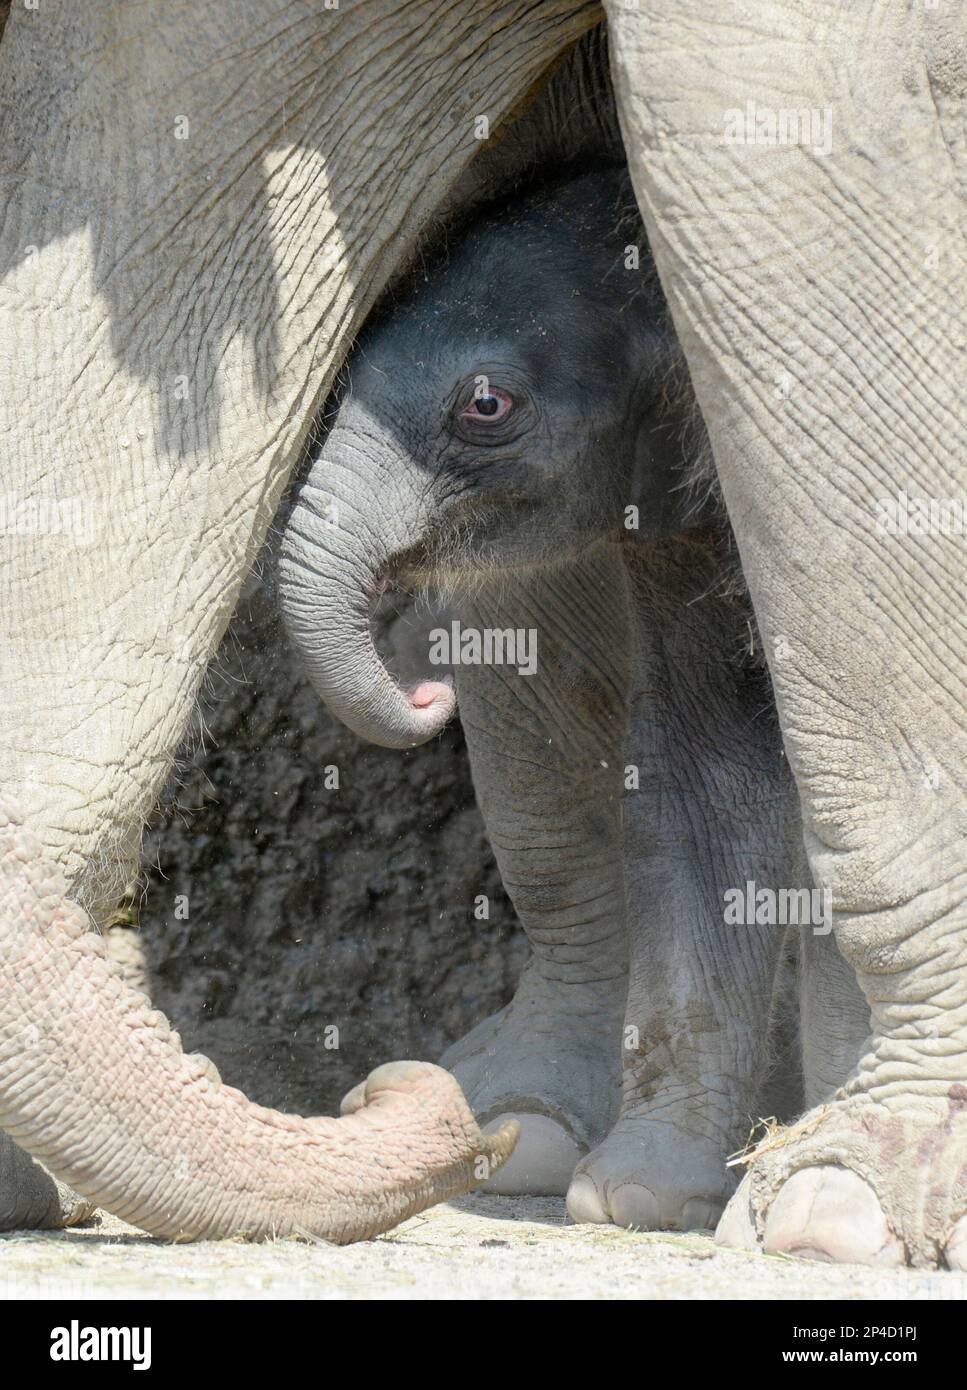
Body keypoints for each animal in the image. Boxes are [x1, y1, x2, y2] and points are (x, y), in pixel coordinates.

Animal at [2, 1, 965, 1266]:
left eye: (486, 406)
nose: (423, 699)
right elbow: (701, 779)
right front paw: (639, 1197)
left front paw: (827, 1213)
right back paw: (527, 1131)